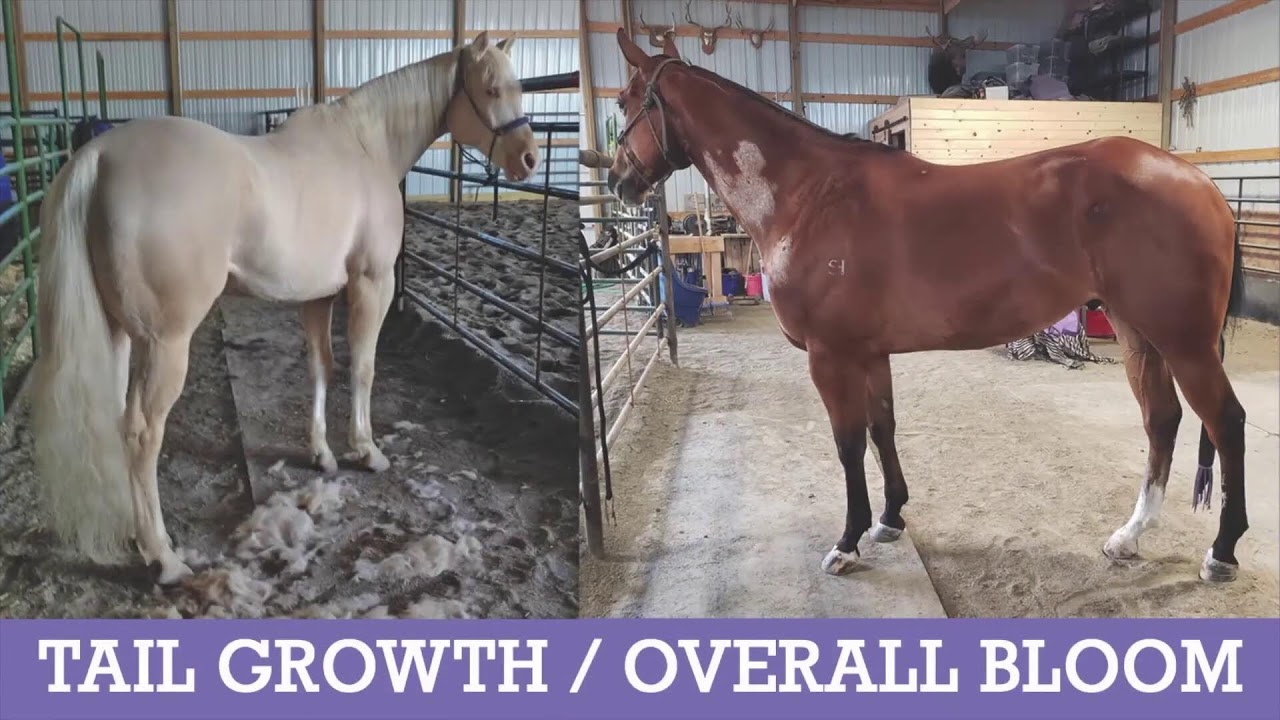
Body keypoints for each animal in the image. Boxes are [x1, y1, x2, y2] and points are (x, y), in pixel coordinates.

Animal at [30, 32, 538, 586]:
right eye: (491, 89)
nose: (530, 157)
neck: (366, 148)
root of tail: (100, 155)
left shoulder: (317, 297)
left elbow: (322, 367)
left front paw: (323, 454)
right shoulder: (372, 284)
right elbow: (363, 368)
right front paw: (367, 451)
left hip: (119, 332)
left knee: (114, 421)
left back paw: (132, 531)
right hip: (165, 343)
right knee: (142, 431)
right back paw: (164, 557)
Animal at [606, 31, 1249, 585]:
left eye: (622, 100)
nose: (618, 182)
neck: (809, 196)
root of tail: (1200, 183)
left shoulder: (829, 356)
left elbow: (848, 443)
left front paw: (848, 542)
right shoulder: (868, 353)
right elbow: (882, 428)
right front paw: (891, 519)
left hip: (1184, 341)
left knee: (1226, 422)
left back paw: (1221, 552)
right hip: (1139, 331)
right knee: (1162, 420)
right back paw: (1129, 537)